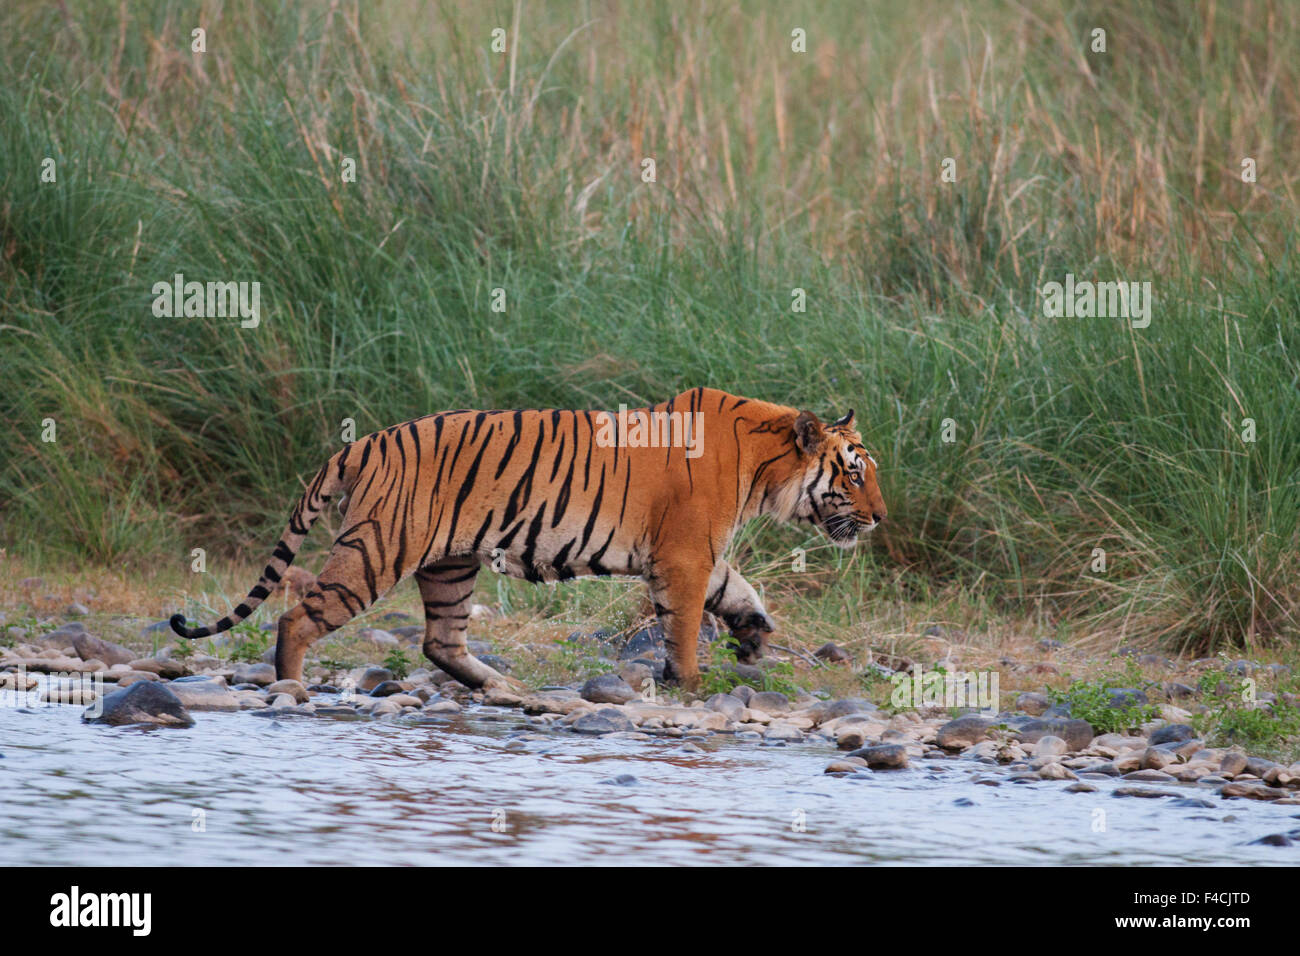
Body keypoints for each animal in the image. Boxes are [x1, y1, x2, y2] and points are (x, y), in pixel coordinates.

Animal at [170, 387, 887, 691]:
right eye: (854, 473)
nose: (881, 517)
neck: (766, 468)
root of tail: (364, 441)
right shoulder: (684, 555)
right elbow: (684, 625)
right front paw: (688, 682)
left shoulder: (697, 554)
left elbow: (738, 589)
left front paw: (755, 634)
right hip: (377, 551)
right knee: (296, 618)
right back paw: (288, 690)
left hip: (450, 565)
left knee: (439, 641)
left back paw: (505, 689)